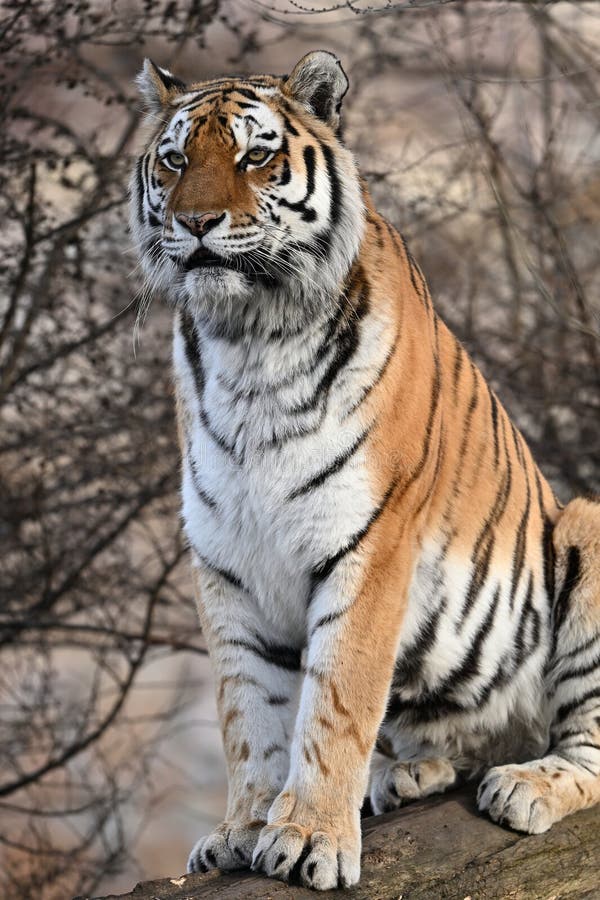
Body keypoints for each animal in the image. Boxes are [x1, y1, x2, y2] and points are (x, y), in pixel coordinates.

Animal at [129, 51, 600, 891]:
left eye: (254, 157)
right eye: (177, 160)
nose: (196, 223)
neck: (248, 340)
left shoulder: (370, 542)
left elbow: (336, 702)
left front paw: (309, 838)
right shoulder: (225, 560)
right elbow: (246, 712)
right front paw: (243, 828)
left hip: (585, 529)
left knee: (586, 749)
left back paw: (523, 786)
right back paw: (410, 773)